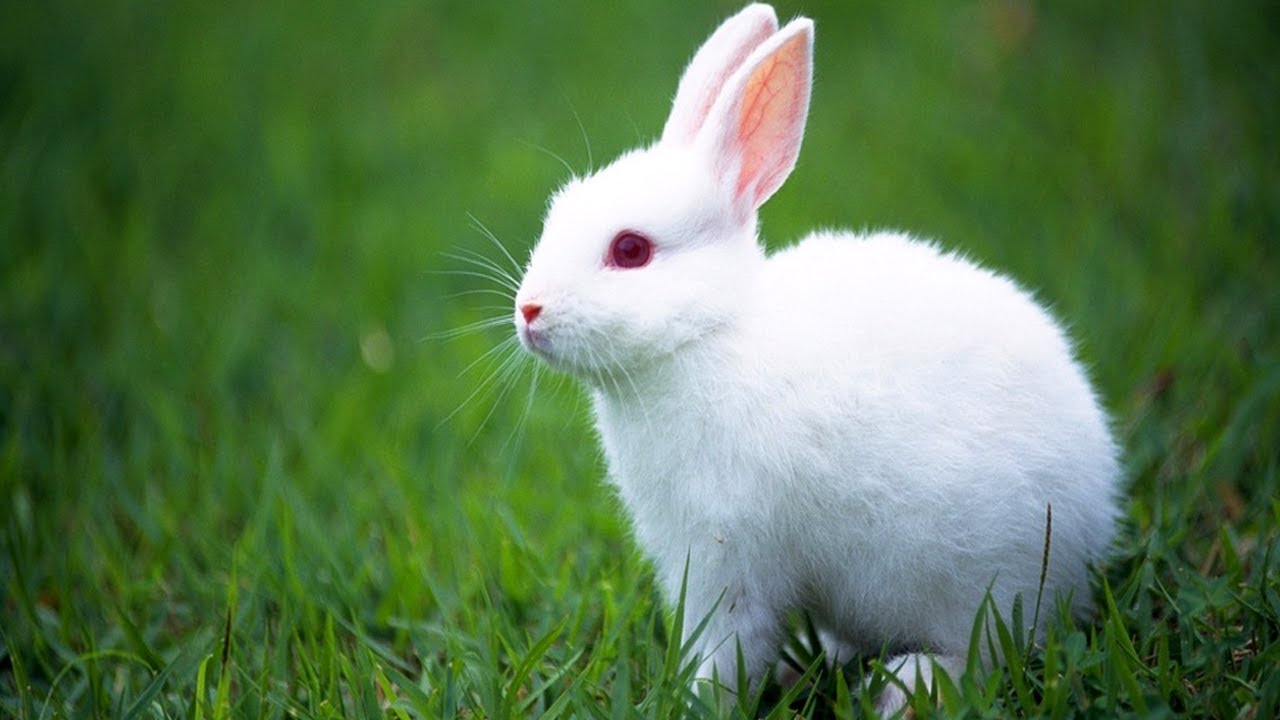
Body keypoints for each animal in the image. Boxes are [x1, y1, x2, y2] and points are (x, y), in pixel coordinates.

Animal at [511, 2, 1121, 712]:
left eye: (630, 250)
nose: (528, 311)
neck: (708, 335)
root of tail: (1095, 517)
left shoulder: (729, 560)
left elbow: (727, 651)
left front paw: (697, 702)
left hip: (985, 582)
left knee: (983, 653)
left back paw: (904, 690)